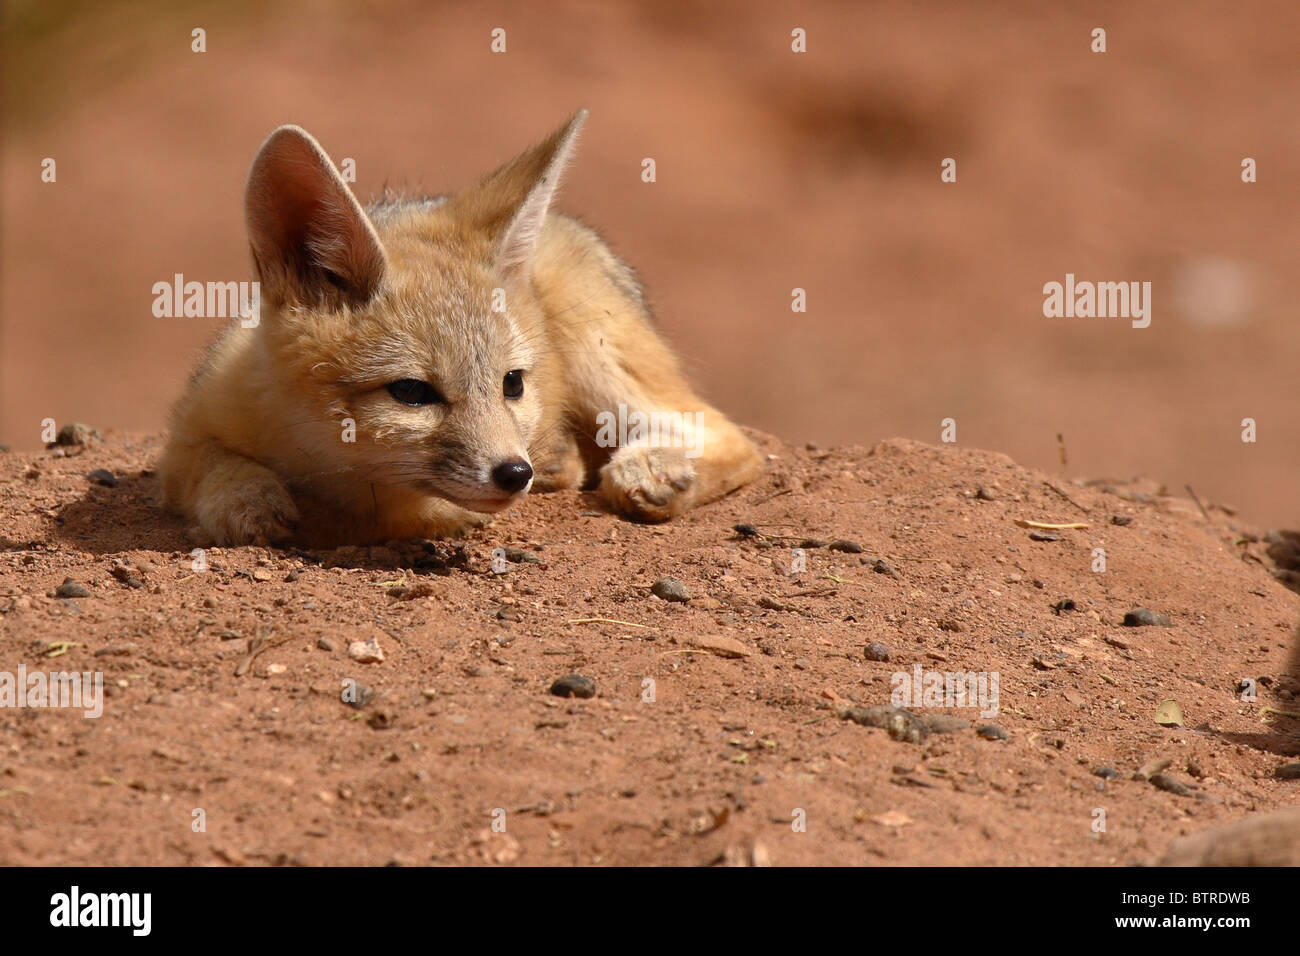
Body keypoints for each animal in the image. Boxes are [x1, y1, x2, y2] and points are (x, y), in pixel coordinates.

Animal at [159, 111, 763, 547]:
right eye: (410, 392)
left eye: (512, 383)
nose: (514, 473)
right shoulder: (188, 431)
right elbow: (208, 468)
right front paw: (249, 500)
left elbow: (402, 512)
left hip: (597, 354)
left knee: (732, 436)